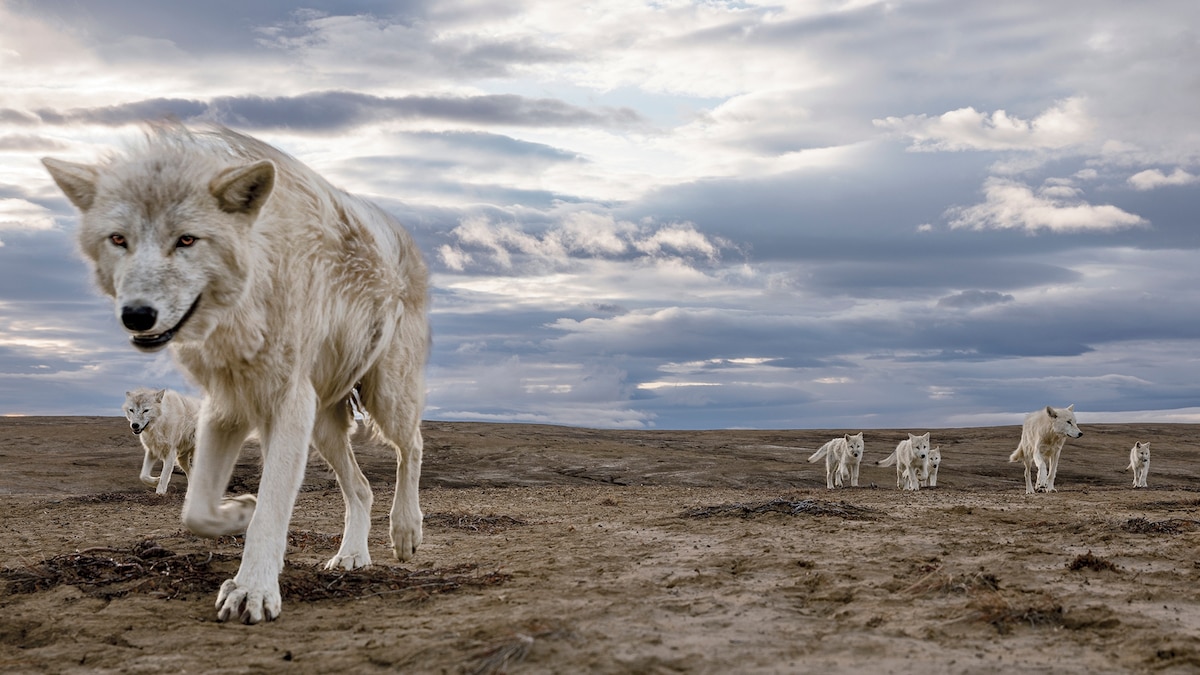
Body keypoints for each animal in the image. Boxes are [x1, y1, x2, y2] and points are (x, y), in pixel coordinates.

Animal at [44, 124, 430, 624]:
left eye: (187, 240)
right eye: (118, 239)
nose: (136, 315)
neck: (245, 307)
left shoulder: (286, 404)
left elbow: (271, 510)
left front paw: (252, 590)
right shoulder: (225, 409)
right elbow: (196, 509)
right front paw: (238, 511)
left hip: (385, 397)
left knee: (412, 446)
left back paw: (405, 530)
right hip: (323, 429)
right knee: (361, 489)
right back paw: (350, 556)